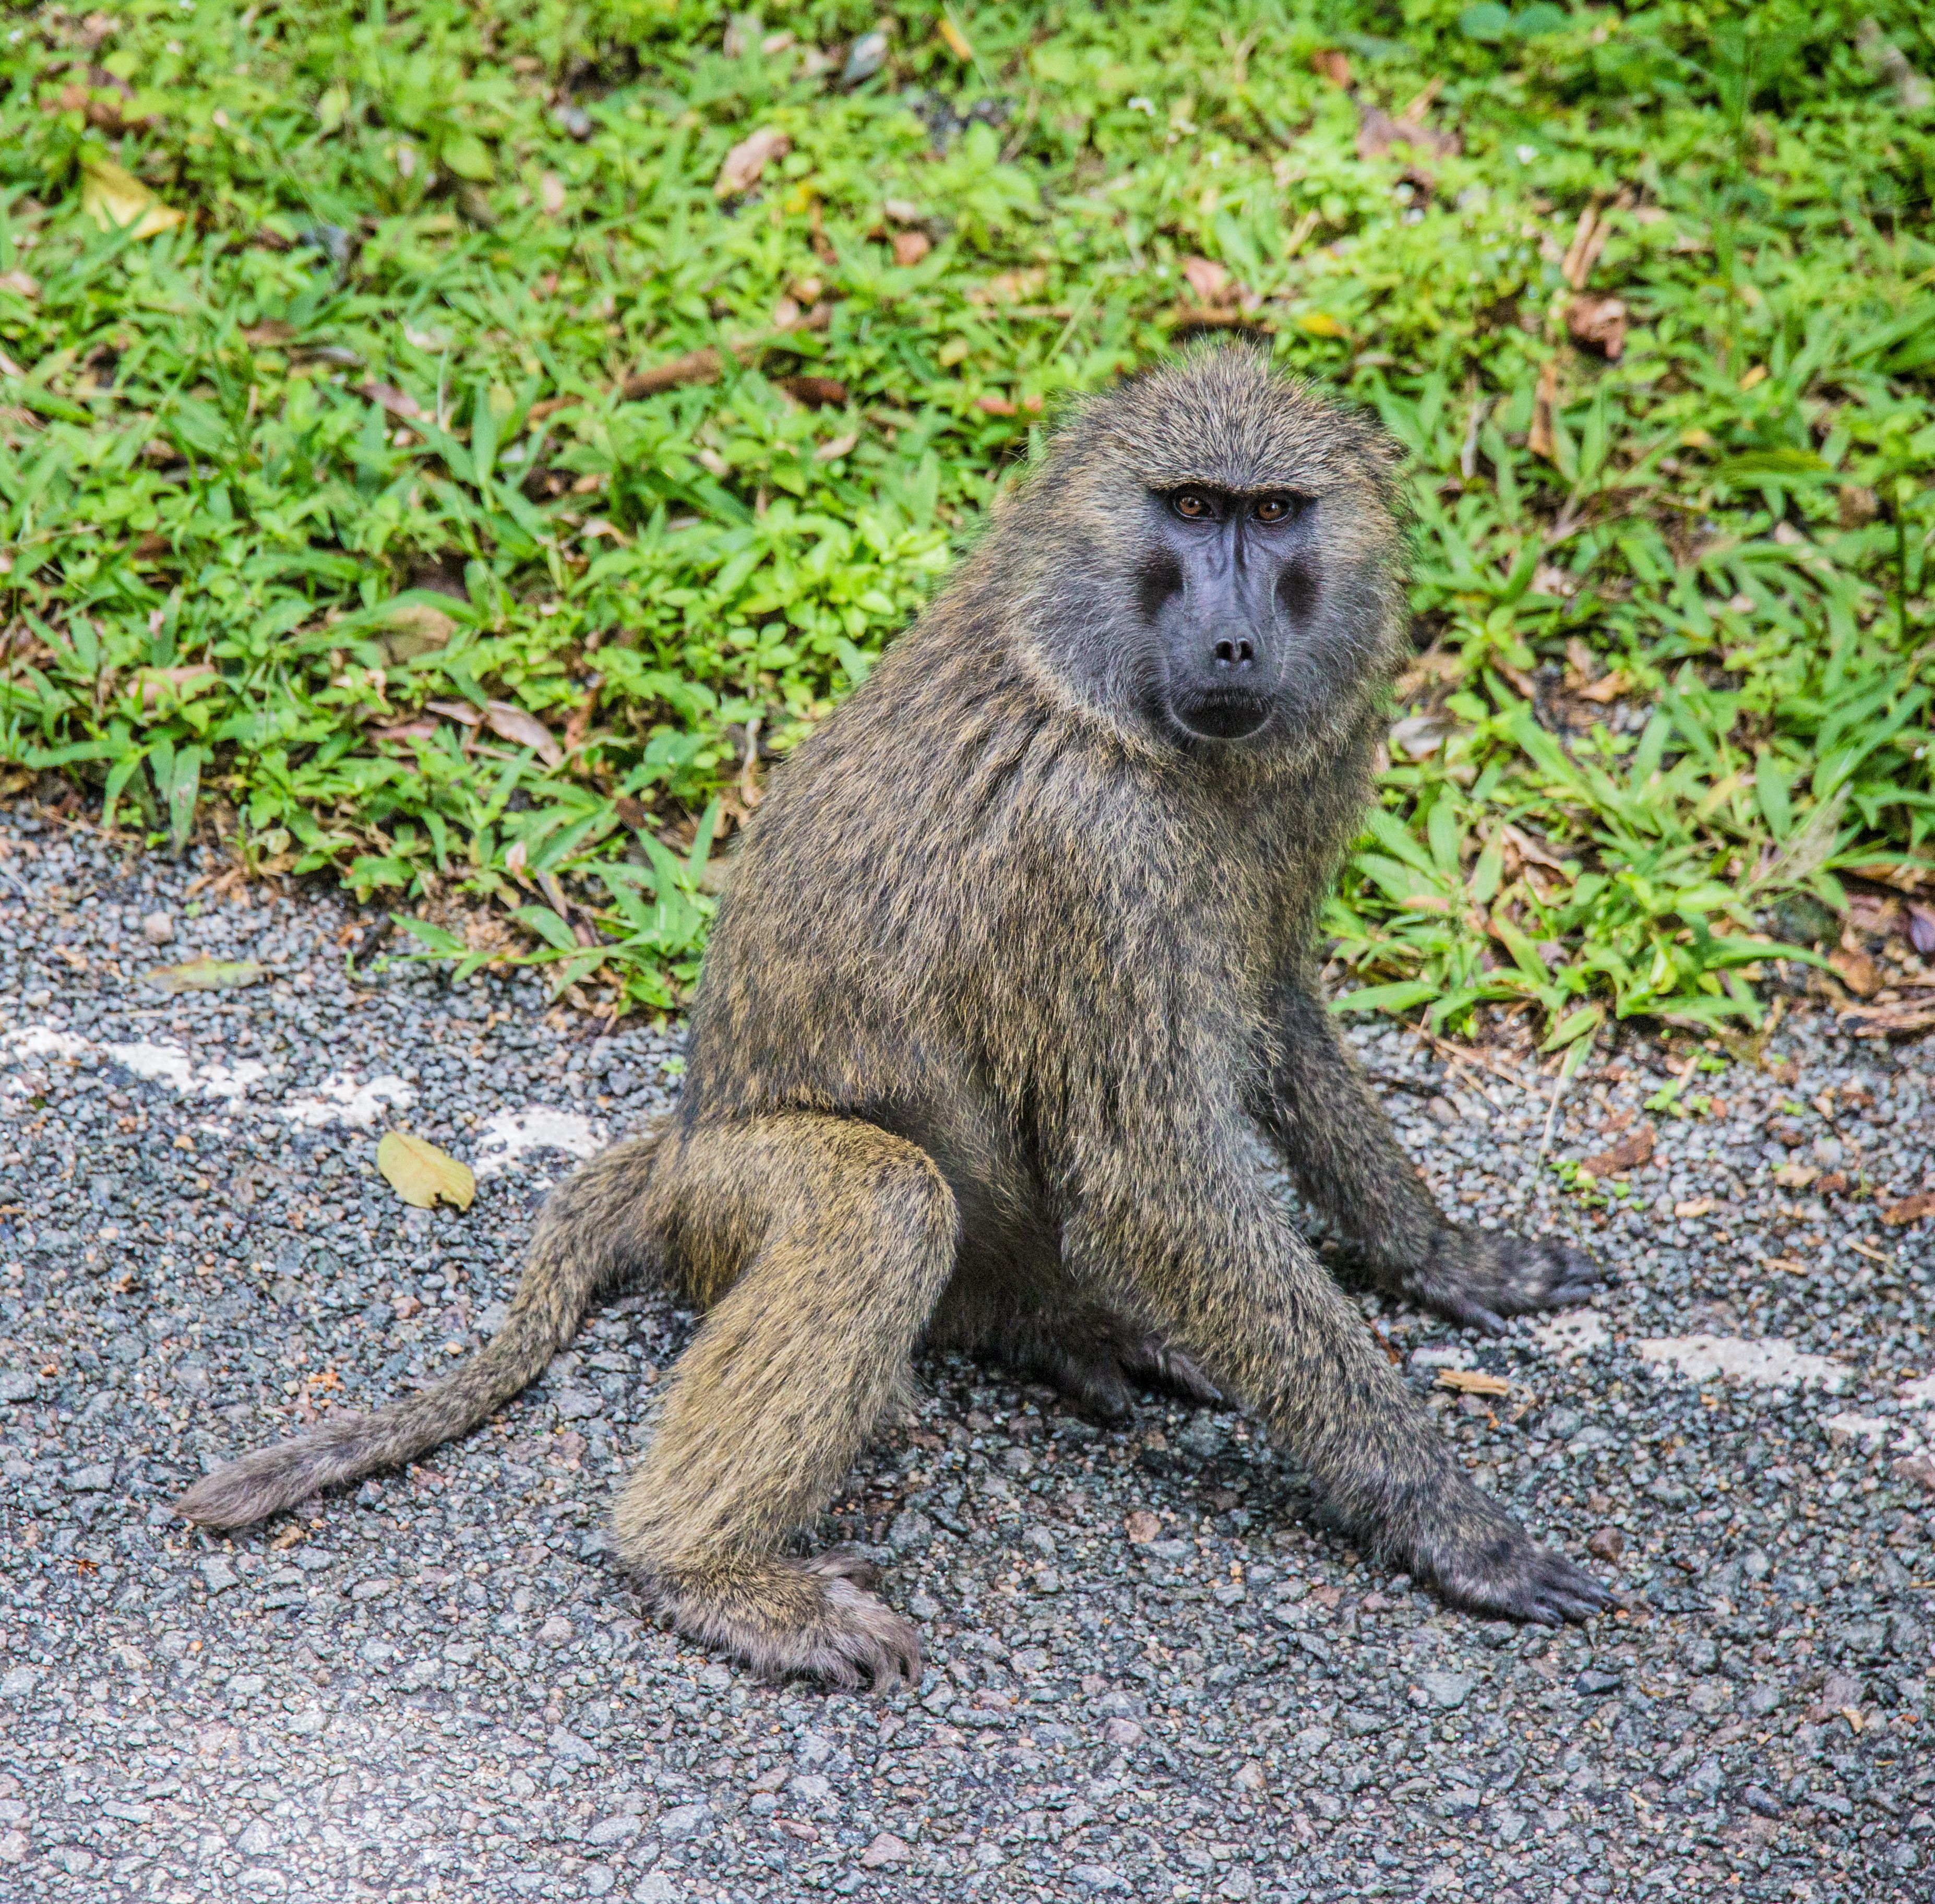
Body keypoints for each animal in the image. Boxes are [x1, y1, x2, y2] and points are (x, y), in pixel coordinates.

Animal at [178, 347, 1611, 1688]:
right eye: (1193, 508)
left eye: (1274, 513)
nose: (1233, 644)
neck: (1104, 695)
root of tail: (682, 1146)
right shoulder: (1090, 849)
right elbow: (1154, 1187)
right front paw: (1459, 1528)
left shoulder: (1316, 762)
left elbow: (1269, 1006)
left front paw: (1447, 1257)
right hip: (734, 1201)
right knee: (884, 1204)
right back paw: (707, 1571)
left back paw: (1068, 1330)